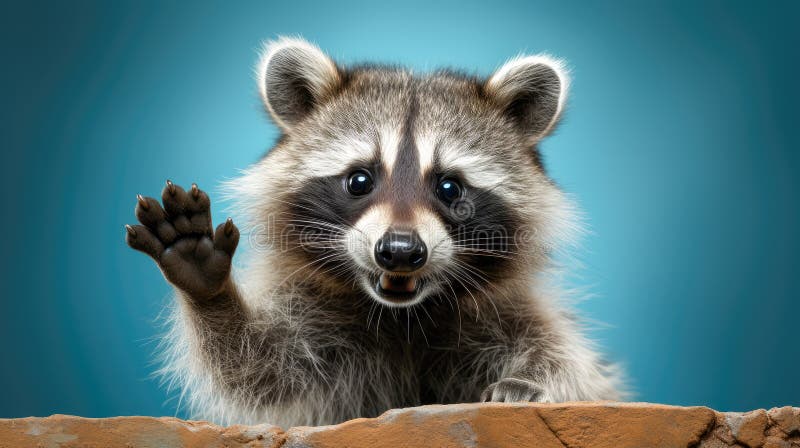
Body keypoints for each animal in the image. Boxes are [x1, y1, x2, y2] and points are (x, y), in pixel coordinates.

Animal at [125, 37, 623, 427]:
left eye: (449, 187)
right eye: (359, 180)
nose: (400, 250)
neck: (403, 315)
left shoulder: (505, 311)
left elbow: (575, 367)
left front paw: (539, 381)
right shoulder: (316, 322)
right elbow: (258, 368)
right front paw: (210, 290)